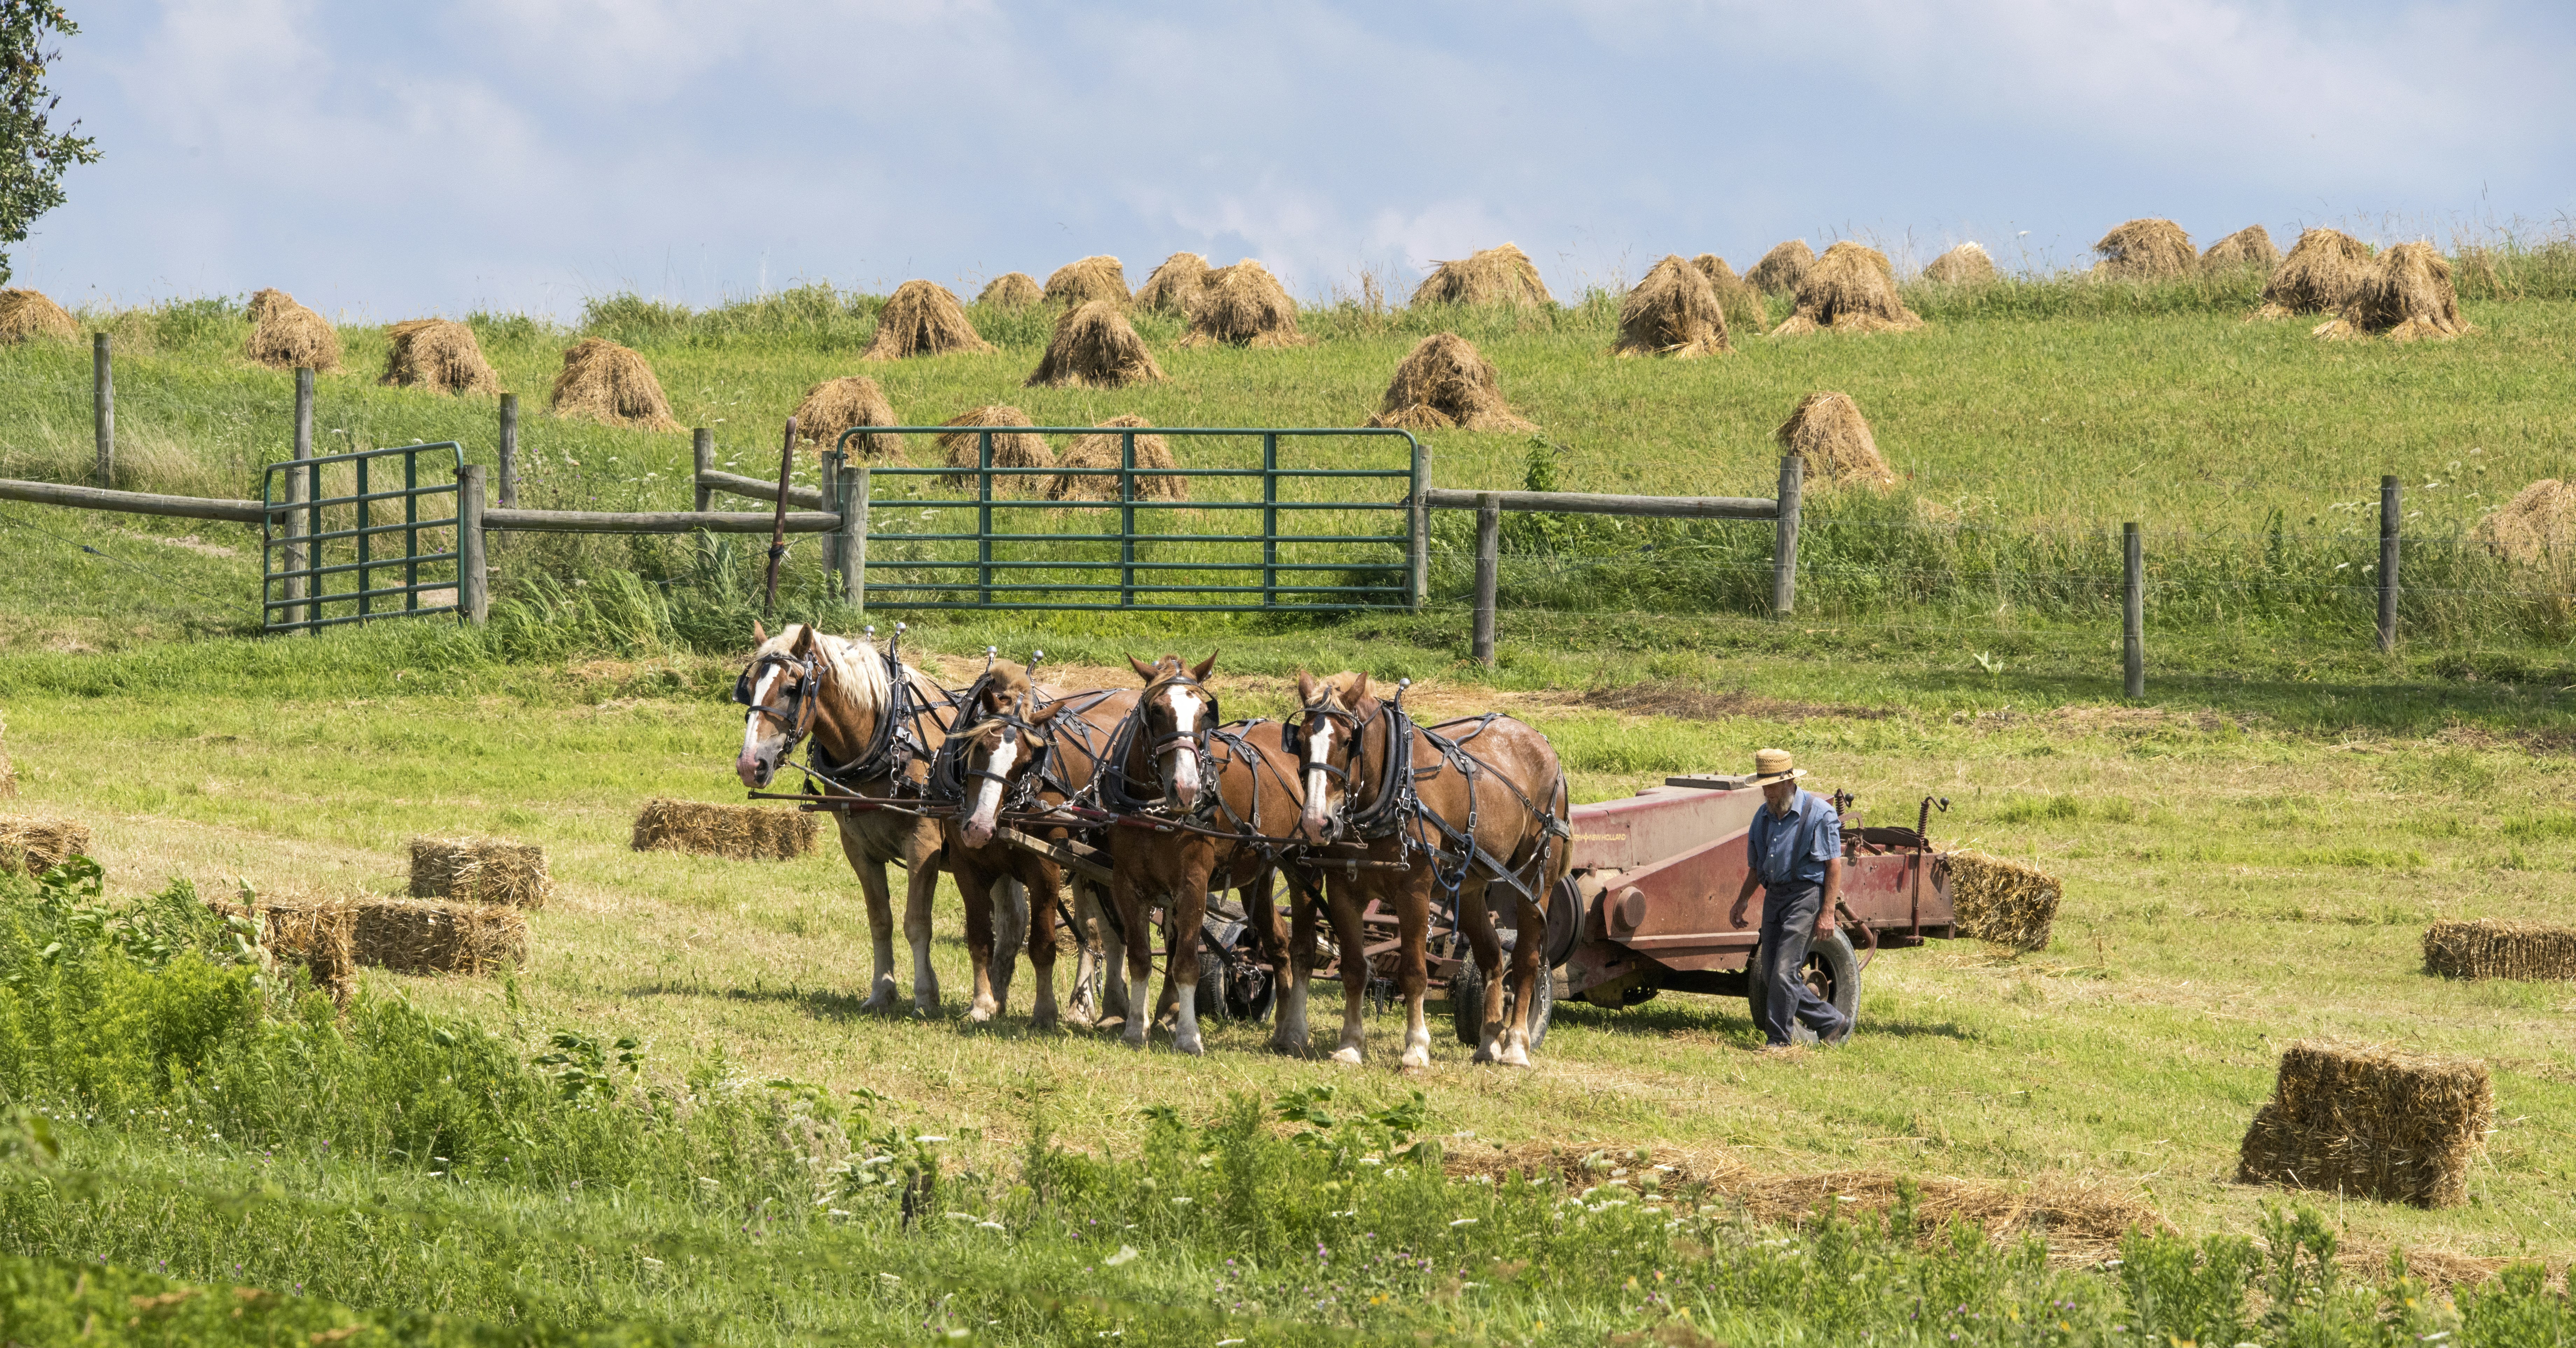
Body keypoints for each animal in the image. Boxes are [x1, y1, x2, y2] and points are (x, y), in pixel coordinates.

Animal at [733, 622, 999, 1016]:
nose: (750, 765)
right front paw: (882, 991)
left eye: (792, 688)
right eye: (749, 687)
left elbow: (917, 923)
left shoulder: (924, 846)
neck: (889, 740)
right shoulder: (858, 848)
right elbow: (880, 920)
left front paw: (925, 996)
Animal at [937, 660, 1138, 1028]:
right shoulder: (967, 867)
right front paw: (983, 1005)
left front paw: (1045, 1012)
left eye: (1024, 761)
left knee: (1110, 933)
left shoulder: (1045, 867)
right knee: (1099, 930)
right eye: (979, 748)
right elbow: (981, 941)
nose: (978, 828)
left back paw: (1103, 1008)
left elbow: (1043, 945)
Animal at [1098, 653, 1306, 1056]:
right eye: (1156, 710)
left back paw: (1296, 1031)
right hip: (1258, 876)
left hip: (1304, 869)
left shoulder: (1193, 885)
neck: (1155, 809)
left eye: (1204, 714)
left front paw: (1188, 1036)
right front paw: (1134, 1029)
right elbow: (1140, 959)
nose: (1186, 789)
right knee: (1279, 944)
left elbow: (1185, 964)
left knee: (1303, 944)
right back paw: (1282, 1029)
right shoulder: (1126, 884)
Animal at [1288, 671, 1572, 1068]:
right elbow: (1355, 969)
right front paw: (1350, 1046)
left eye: (1346, 742)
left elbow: (1414, 973)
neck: (1393, 788)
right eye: (1298, 741)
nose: (1317, 823)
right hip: (1469, 888)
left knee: (1527, 958)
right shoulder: (1344, 891)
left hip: (1534, 882)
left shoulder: (1414, 894)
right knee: (1491, 956)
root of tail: (1541, 743)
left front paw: (1416, 1049)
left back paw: (1516, 1045)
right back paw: (1488, 1040)